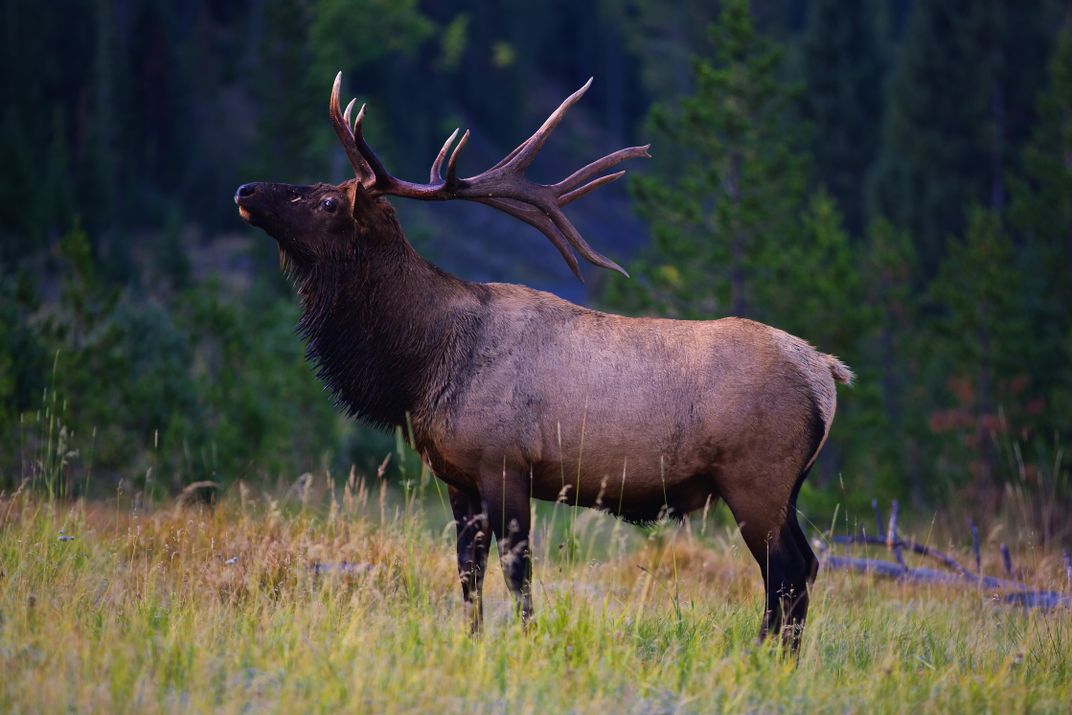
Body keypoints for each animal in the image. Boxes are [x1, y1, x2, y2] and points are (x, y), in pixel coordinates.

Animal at [234, 72, 853, 650]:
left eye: (326, 202)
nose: (245, 188)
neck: (422, 365)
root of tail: (826, 371)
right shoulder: (457, 478)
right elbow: (469, 574)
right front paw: (473, 641)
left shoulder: (504, 463)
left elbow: (517, 572)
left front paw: (527, 642)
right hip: (785, 488)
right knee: (803, 567)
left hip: (756, 478)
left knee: (786, 571)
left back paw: (766, 656)